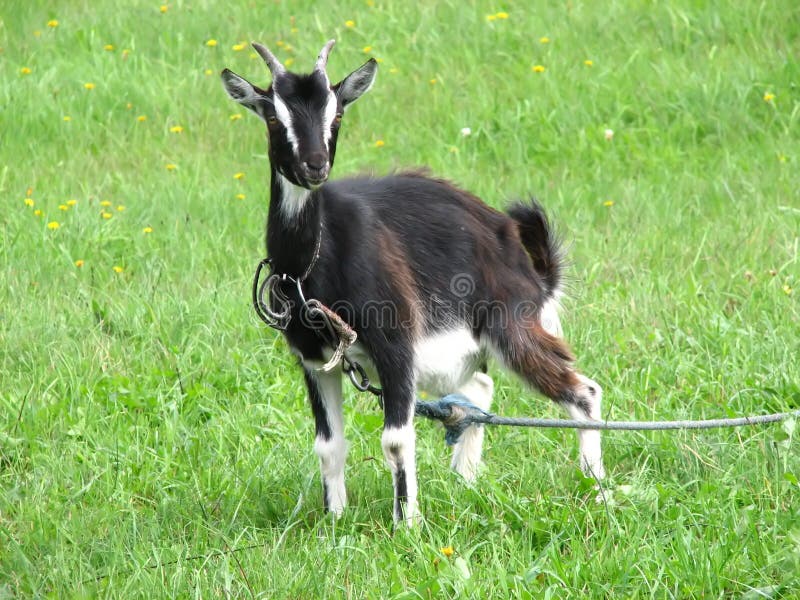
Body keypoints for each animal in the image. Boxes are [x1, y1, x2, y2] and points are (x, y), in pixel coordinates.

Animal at [221, 40, 605, 525]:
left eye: (337, 114)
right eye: (274, 117)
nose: (315, 167)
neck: (315, 262)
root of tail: (514, 243)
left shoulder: (396, 346)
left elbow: (396, 440)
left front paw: (408, 524)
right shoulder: (314, 360)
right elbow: (328, 445)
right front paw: (335, 520)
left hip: (510, 327)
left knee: (583, 391)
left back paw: (597, 490)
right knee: (479, 389)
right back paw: (466, 483)